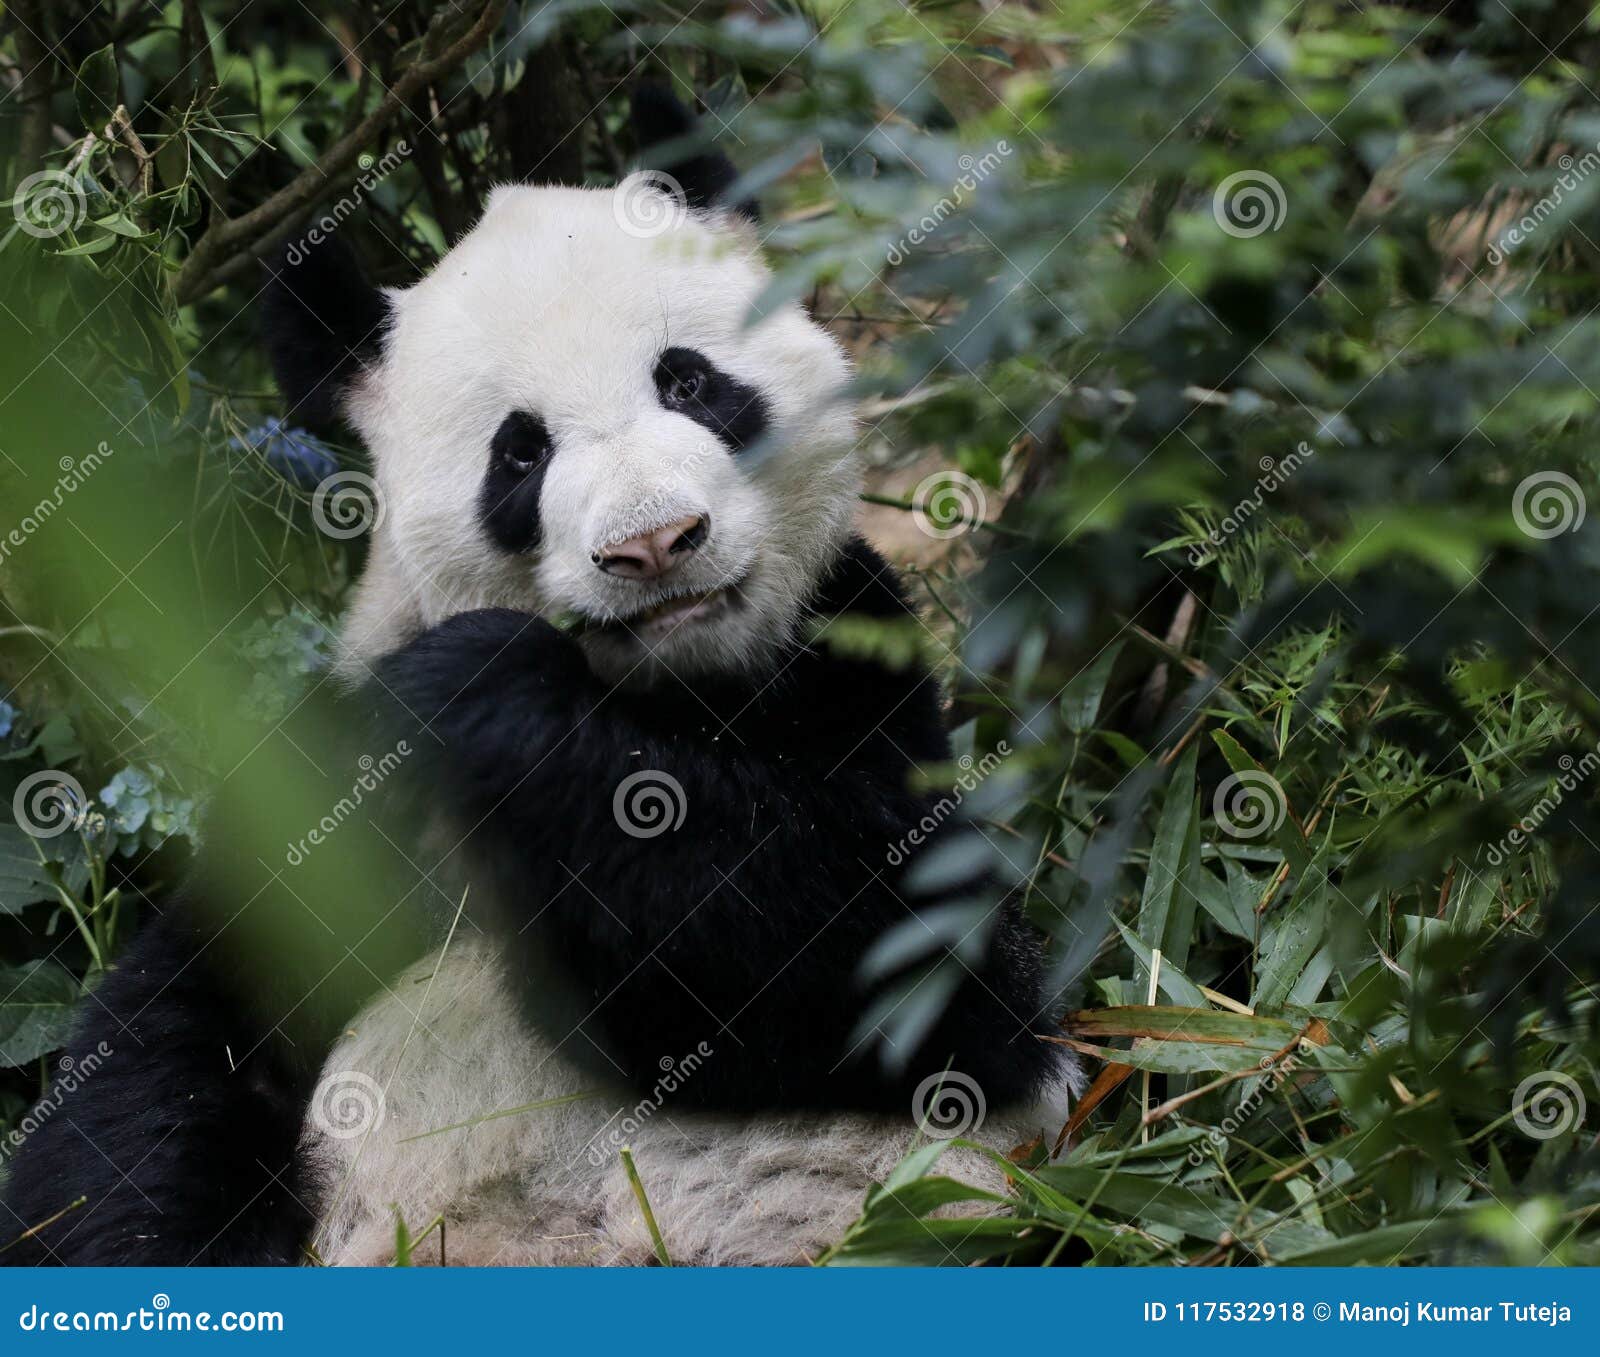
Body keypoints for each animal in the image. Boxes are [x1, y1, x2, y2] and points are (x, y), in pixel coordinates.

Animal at [0, 89, 1076, 1267]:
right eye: (519, 454)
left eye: (689, 381)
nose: (653, 543)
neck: (669, 696)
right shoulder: (325, 785)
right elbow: (178, 1039)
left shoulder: (854, 656)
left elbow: (926, 965)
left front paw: (483, 687)